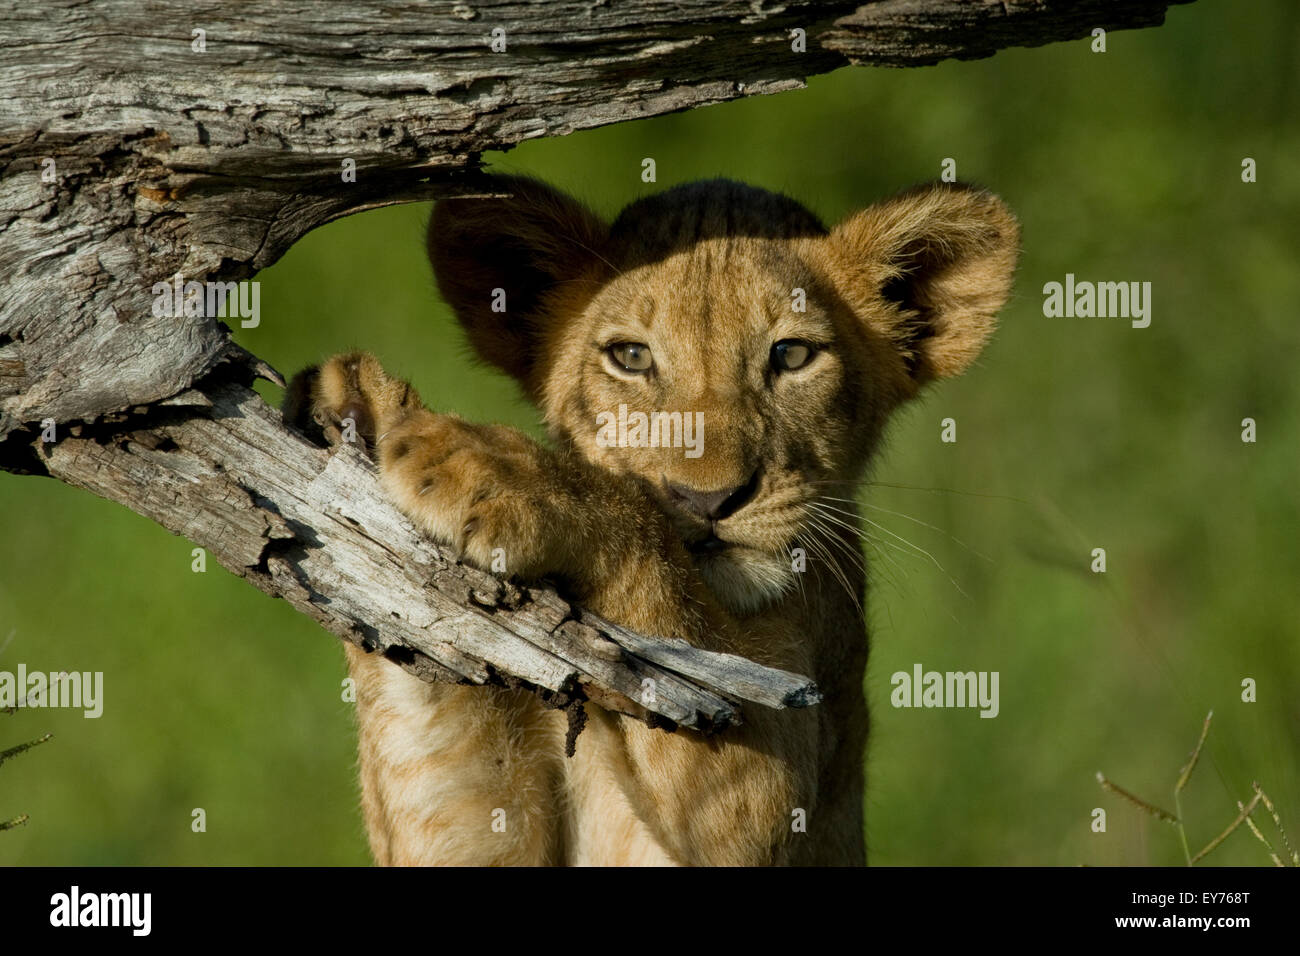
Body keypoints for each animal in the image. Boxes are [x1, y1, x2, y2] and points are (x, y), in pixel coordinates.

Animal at [283, 175, 1019, 865]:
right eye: (632, 358)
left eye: (792, 356)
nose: (709, 500)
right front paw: (359, 405)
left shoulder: (782, 776)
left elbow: (639, 526)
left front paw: (482, 464)